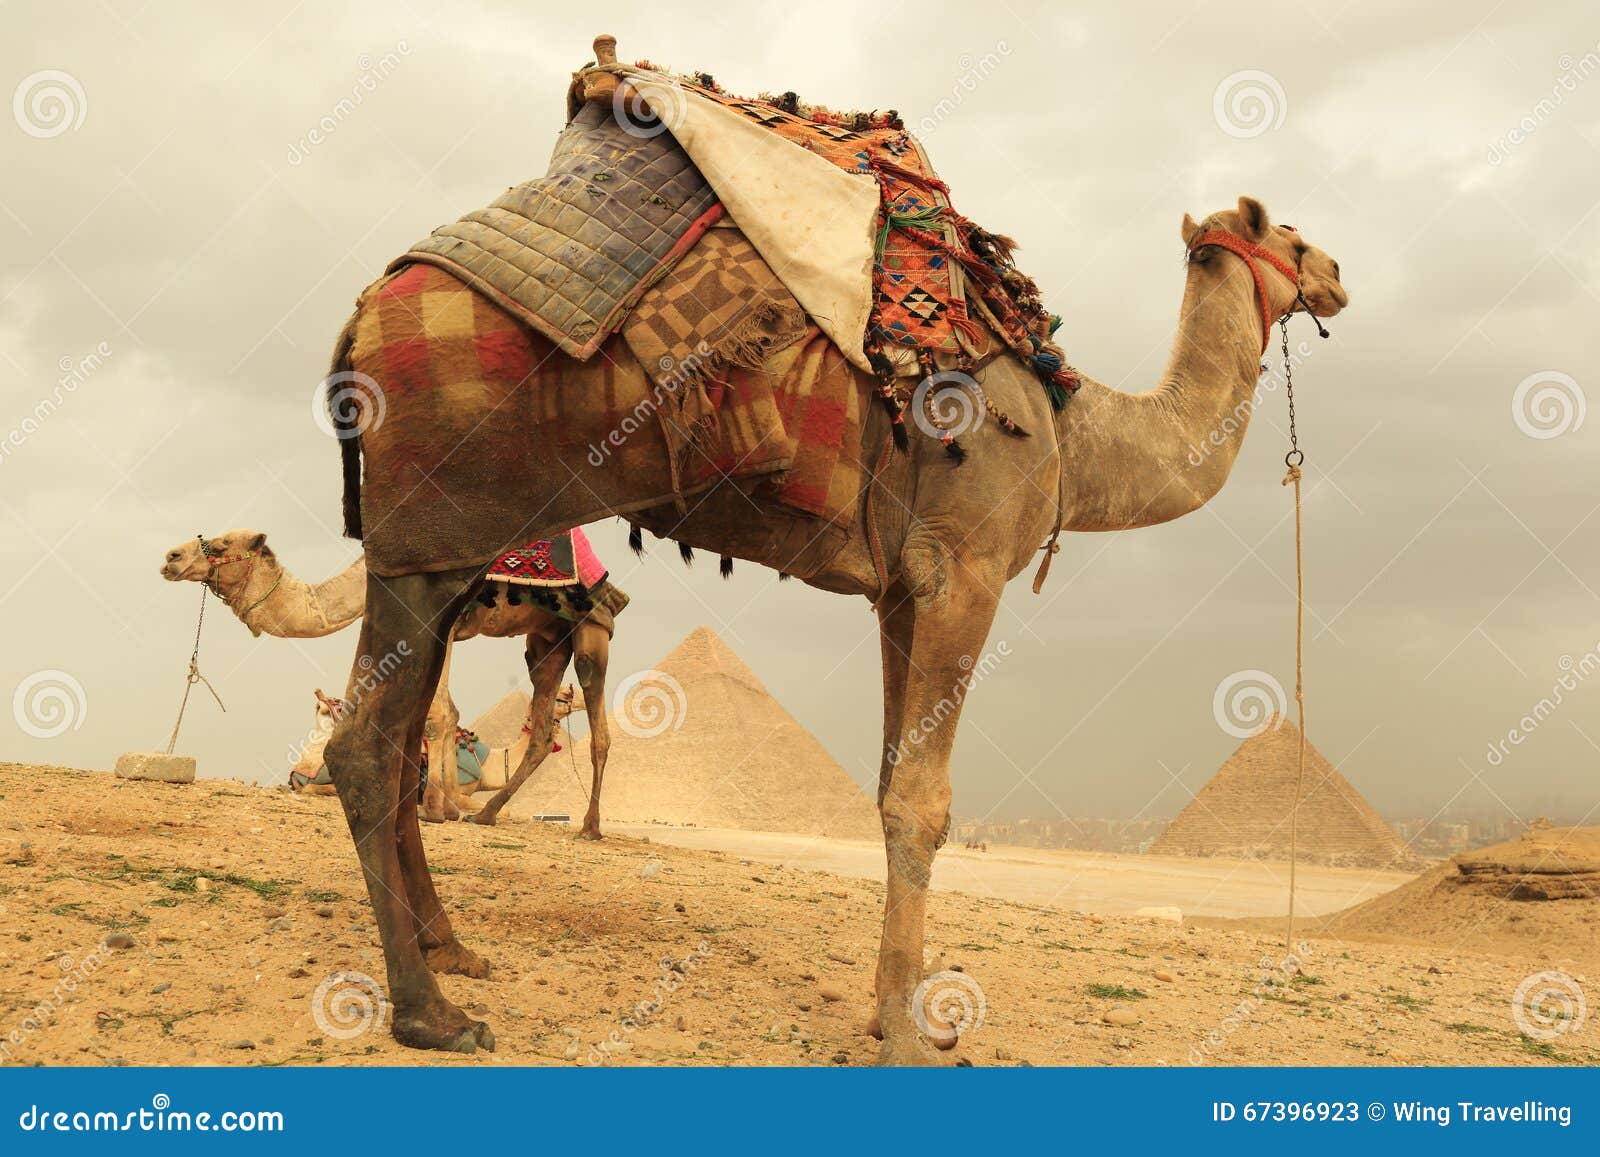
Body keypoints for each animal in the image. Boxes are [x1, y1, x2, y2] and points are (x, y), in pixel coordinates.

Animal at [158, 532, 618, 837]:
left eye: (220, 546)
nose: (170, 556)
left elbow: (440, 711)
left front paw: (434, 809)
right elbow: (439, 710)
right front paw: (447, 807)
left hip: (591, 626)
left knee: (599, 726)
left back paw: (589, 827)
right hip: (546, 638)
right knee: (542, 725)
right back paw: (486, 813)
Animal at [316, 185, 1346, 1061]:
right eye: (1290, 234)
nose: (1337, 271)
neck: (1070, 428)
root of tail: (362, 312)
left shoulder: (902, 590)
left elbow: (892, 781)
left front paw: (898, 1012)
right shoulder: (964, 570)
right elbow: (921, 802)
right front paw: (910, 1035)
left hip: (444, 556)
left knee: (403, 736)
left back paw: (451, 950)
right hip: (435, 530)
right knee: (365, 742)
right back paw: (430, 1010)